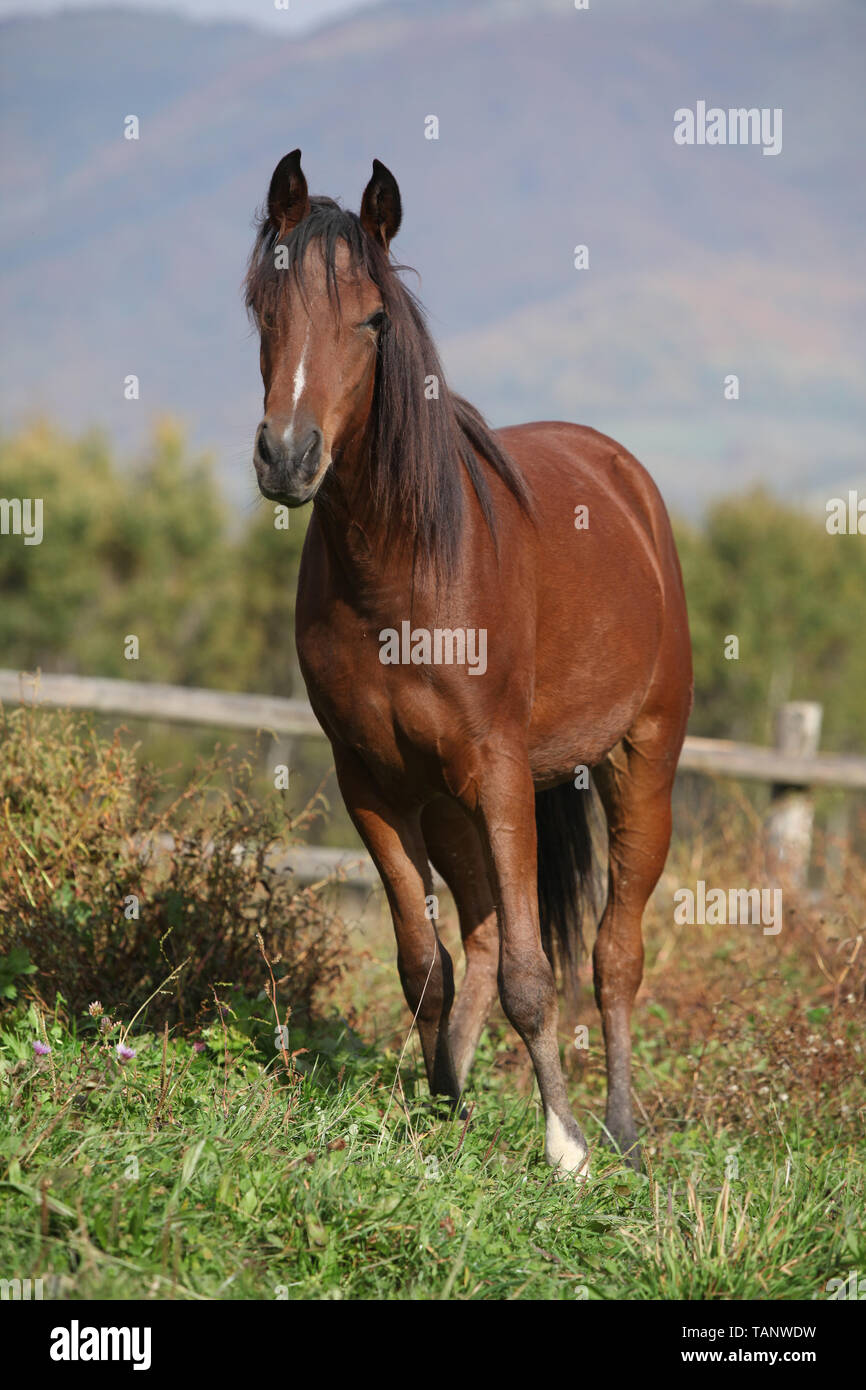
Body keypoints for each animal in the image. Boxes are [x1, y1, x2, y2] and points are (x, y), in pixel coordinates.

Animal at [245, 150, 693, 1175]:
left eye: (371, 318)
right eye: (262, 306)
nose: (287, 457)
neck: (401, 570)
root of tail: (624, 477)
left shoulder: (497, 771)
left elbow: (535, 970)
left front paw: (563, 1147)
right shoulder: (373, 782)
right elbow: (425, 961)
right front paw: (439, 1111)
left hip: (638, 766)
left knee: (613, 952)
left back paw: (622, 1132)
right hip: (450, 804)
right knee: (482, 937)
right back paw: (459, 1097)